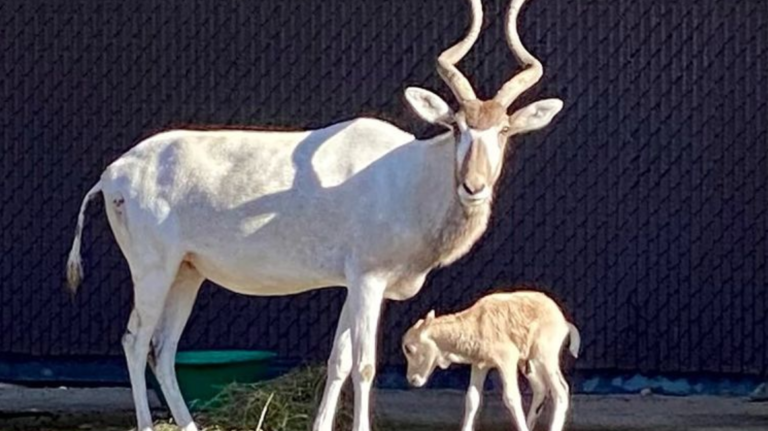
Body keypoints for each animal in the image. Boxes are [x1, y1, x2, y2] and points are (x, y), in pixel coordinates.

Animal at [65, 0, 562, 430]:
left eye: (504, 128)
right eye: (457, 126)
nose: (473, 186)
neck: (410, 175)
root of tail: (113, 175)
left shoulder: (351, 284)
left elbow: (338, 360)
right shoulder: (369, 280)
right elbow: (364, 364)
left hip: (187, 272)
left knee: (163, 349)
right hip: (154, 269)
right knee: (135, 341)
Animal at [402, 291, 580, 431]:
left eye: (409, 349)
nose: (412, 379)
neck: (477, 325)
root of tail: (563, 321)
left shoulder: (507, 360)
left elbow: (511, 397)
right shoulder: (479, 365)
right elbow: (472, 398)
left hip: (545, 357)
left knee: (560, 391)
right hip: (530, 363)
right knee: (541, 388)